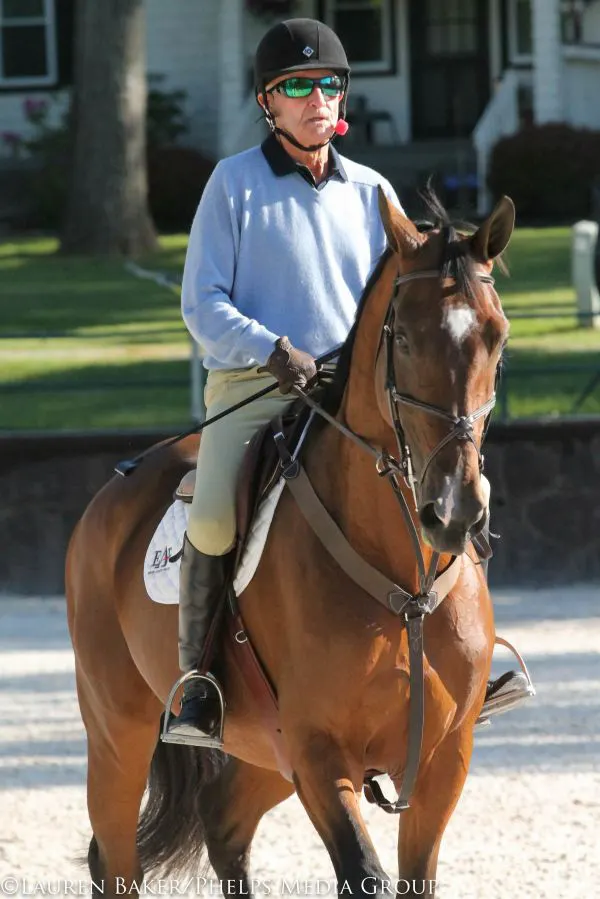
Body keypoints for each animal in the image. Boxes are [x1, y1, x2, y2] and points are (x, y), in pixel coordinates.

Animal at [65, 187, 514, 898]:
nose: (454, 512)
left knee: (223, 824)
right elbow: (366, 874)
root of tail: (105, 502)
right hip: (119, 735)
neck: (404, 583)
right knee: (114, 860)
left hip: (261, 751)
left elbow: (416, 876)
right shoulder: (318, 752)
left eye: (498, 336)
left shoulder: (446, 758)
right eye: (404, 337)